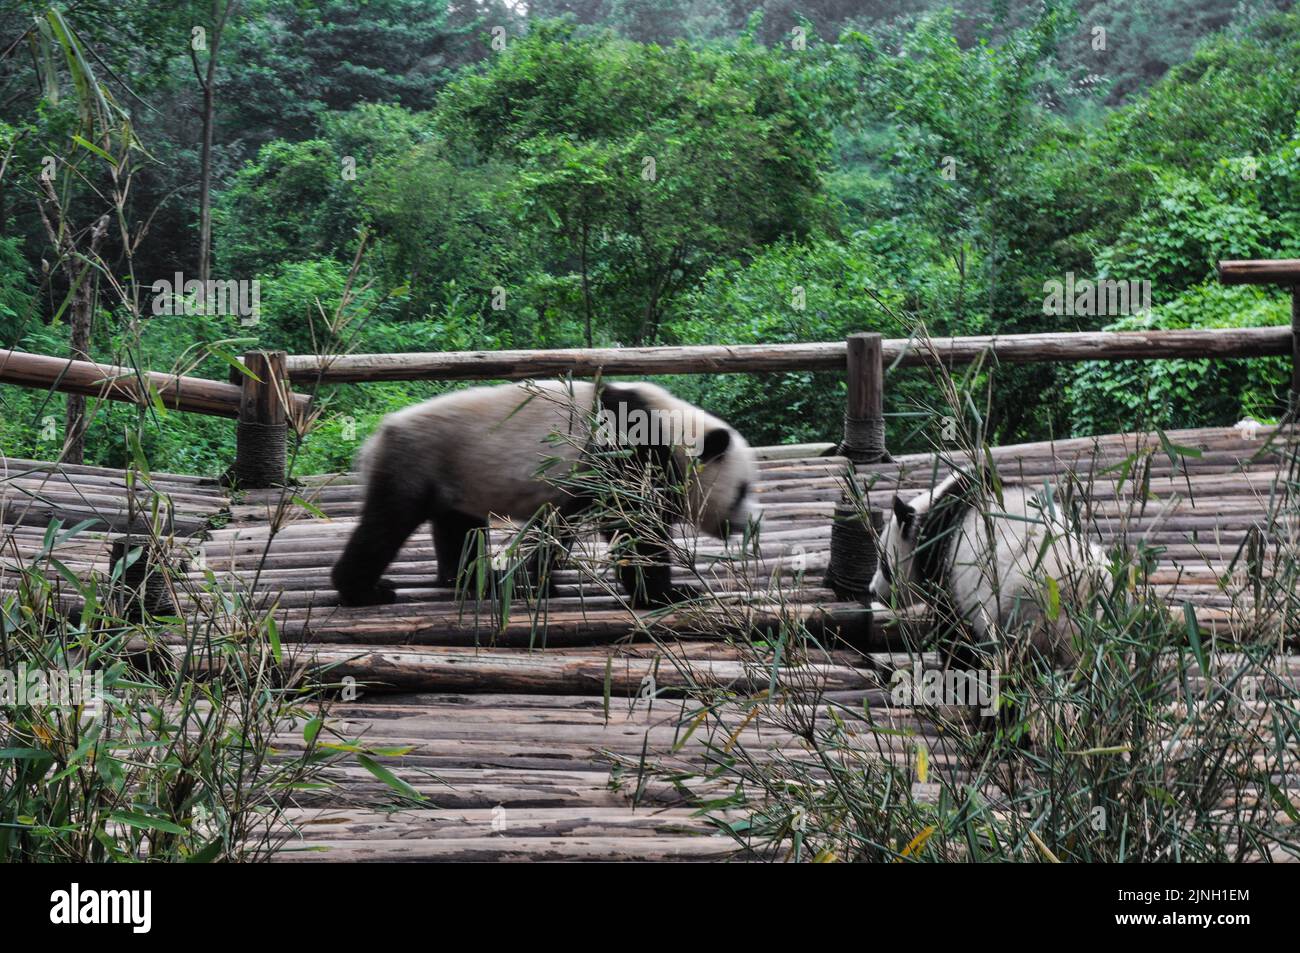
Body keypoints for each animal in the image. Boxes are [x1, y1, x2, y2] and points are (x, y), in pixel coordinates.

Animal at [331, 379, 757, 608]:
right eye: (741, 491)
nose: (746, 524)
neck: (673, 428)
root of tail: (378, 435)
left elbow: (563, 526)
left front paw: (536, 580)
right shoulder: (627, 452)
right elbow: (633, 528)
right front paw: (668, 594)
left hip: (455, 476)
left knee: (459, 529)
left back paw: (475, 580)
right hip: (416, 461)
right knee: (386, 524)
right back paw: (364, 590)